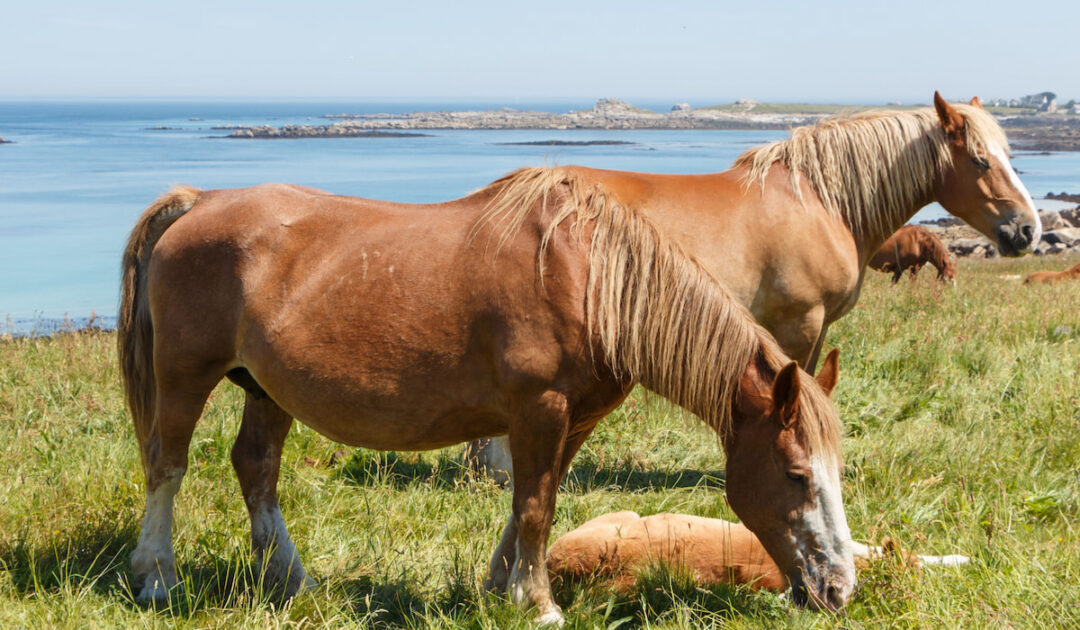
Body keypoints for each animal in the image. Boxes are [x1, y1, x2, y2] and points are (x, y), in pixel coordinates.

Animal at [119, 177, 853, 623]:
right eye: (796, 475)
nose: (839, 588)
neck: (588, 278)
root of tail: (200, 200)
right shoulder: (540, 408)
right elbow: (534, 507)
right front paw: (541, 605)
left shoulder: (574, 419)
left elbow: (535, 502)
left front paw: (505, 588)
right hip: (184, 377)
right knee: (166, 469)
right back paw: (158, 578)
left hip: (267, 388)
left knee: (256, 469)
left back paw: (291, 580)